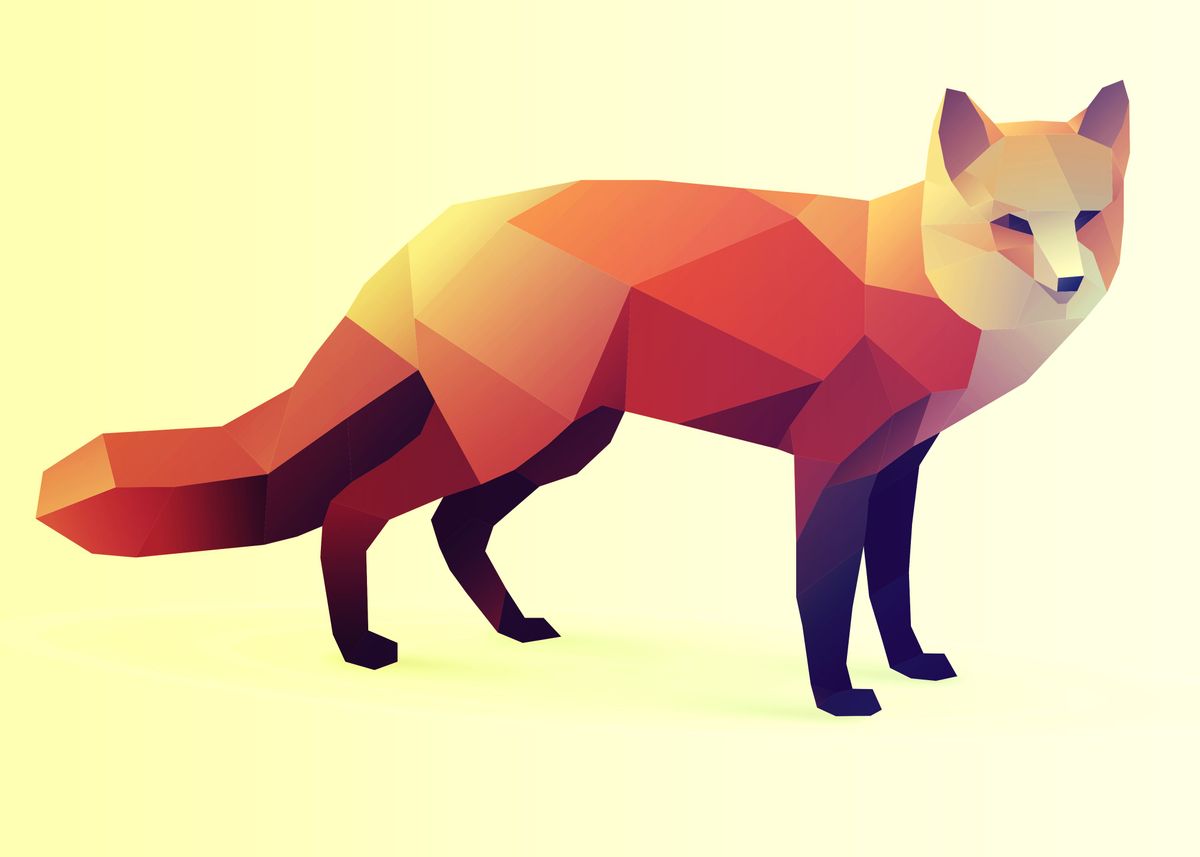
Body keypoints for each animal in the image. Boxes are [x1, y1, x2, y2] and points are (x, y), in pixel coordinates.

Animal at [37, 83, 1129, 716]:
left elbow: (891, 586)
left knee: (452, 525)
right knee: (355, 508)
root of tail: (436, 227)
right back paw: (359, 649)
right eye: (1011, 225)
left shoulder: (898, 466)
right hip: (514, 432)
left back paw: (513, 629)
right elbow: (823, 591)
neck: (911, 279)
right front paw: (839, 695)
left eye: (1087, 217)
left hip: (559, 442)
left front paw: (908, 665)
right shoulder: (829, 461)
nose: (1071, 283)